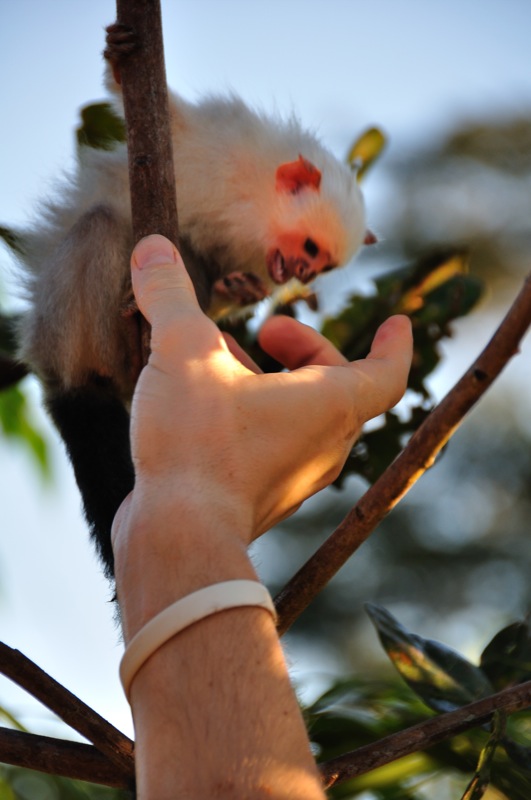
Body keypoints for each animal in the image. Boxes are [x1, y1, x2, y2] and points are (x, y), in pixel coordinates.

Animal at [15, 31, 374, 580]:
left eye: (321, 265)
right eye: (310, 248)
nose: (299, 272)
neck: (246, 204)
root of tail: (57, 370)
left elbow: (225, 280)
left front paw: (241, 286)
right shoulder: (202, 143)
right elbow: (147, 105)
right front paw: (119, 56)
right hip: (61, 330)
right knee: (99, 225)